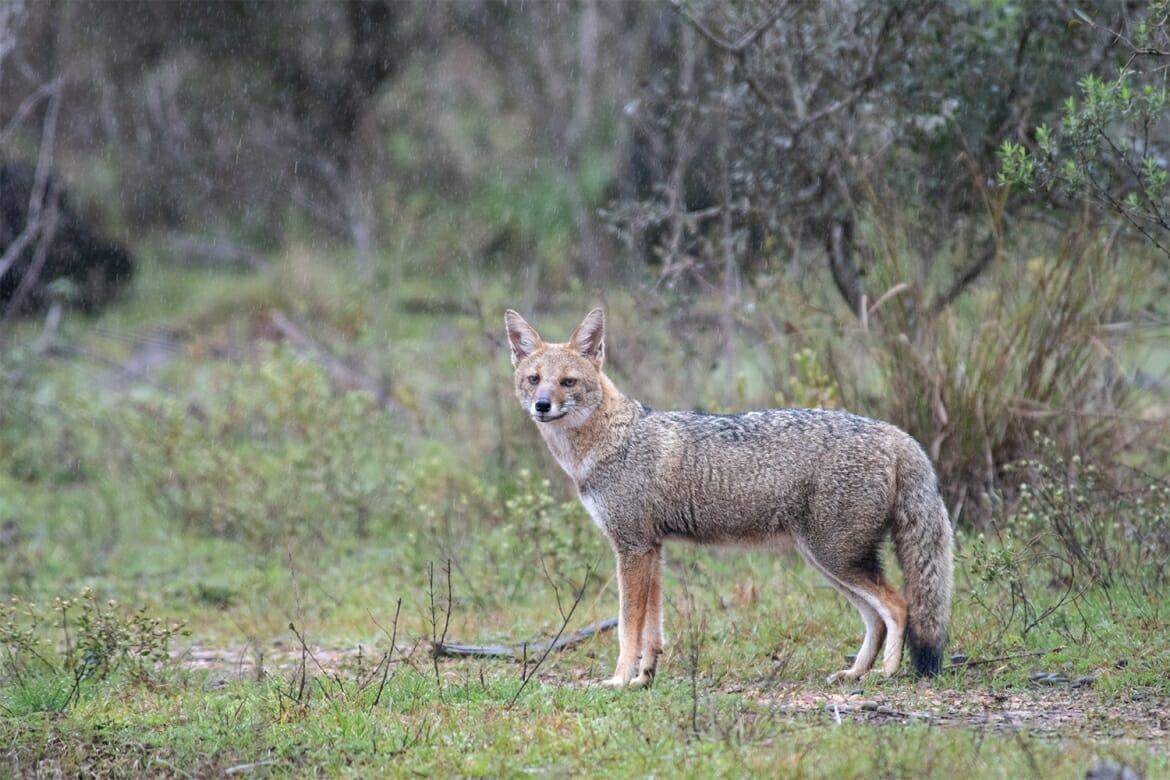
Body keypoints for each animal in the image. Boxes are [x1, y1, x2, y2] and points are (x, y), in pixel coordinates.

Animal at [504, 307, 954, 688]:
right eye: (534, 379)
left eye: (568, 382)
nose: (542, 406)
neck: (611, 441)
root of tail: (895, 432)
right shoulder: (652, 549)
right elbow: (653, 629)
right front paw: (643, 678)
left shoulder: (632, 549)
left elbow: (628, 626)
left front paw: (618, 680)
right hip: (829, 563)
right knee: (875, 618)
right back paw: (856, 673)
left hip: (837, 558)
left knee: (898, 607)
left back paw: (888, 673)